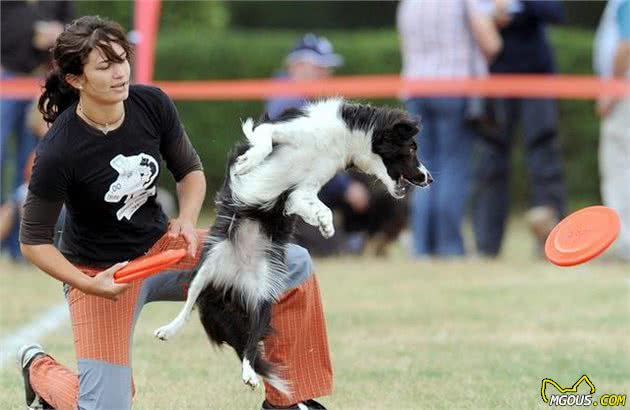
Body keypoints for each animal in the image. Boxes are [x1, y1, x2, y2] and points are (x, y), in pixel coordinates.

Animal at [153, 98, 432, 394]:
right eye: (412, 148)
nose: (428, 178)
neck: (340, 138)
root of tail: (233, 284)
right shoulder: (276, 131)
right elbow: (263, 143)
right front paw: (246, 163)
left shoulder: (303, 191)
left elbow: (320, 208)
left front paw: (325, 225)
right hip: (205, 269)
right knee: (189, 304)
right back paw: (168, 330)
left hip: (264, 296)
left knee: (251, 342)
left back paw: (250, 375)